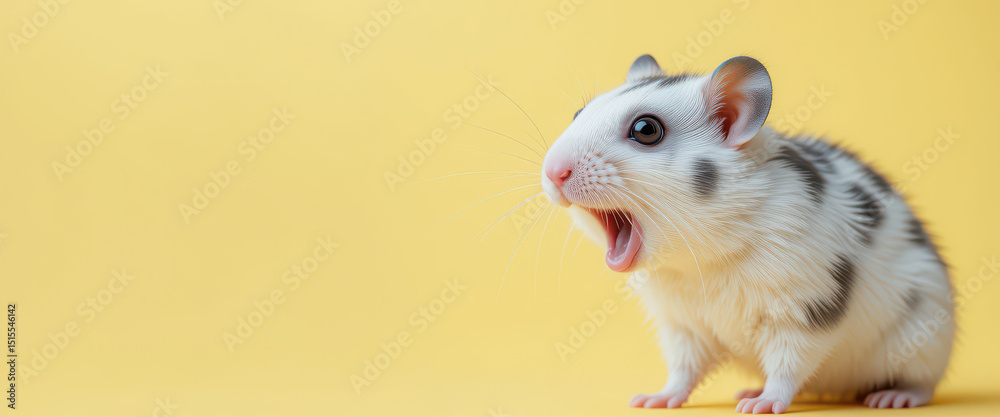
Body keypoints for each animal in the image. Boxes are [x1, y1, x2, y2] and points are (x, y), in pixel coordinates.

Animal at [540, 55, 954, 414]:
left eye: (646, 130)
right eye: (578, 114)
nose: (552, 171)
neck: (703, 257)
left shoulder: (802, 307)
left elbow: (788, 362)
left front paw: (765, 404)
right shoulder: (680, 323)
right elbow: (682, 368)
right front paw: (655, 399)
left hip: (924, 339)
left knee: (923, 382)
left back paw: (894, 396)